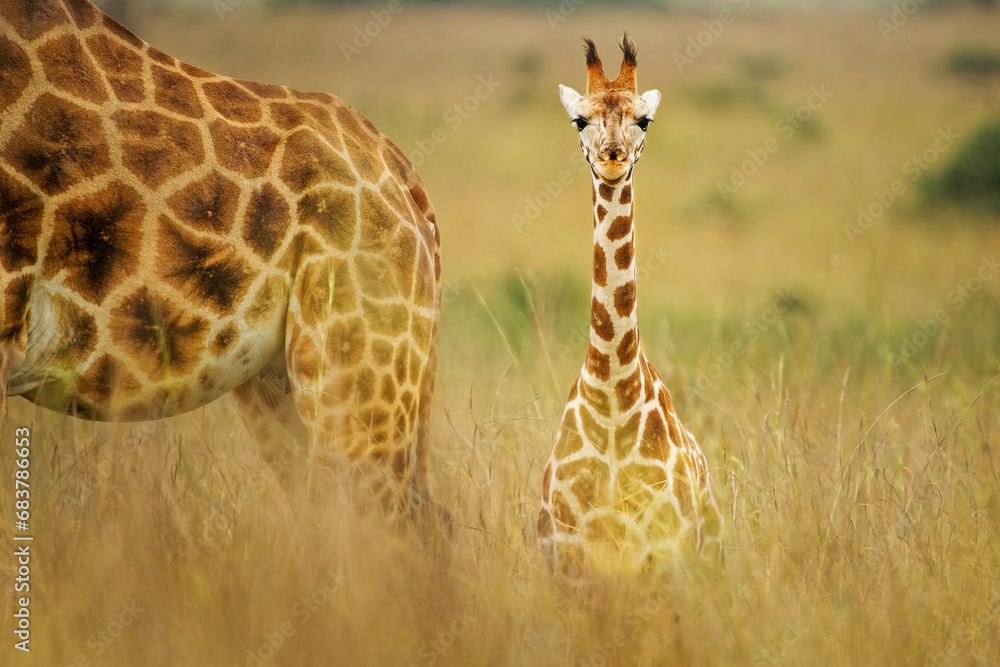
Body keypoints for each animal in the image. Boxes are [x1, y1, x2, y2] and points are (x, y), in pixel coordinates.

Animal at [538, 35, 723, 572]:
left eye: (645, 120)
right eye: (579, 120)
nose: (613, 157)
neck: (613, 394)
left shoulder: (663, 555)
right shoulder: (566, 560)